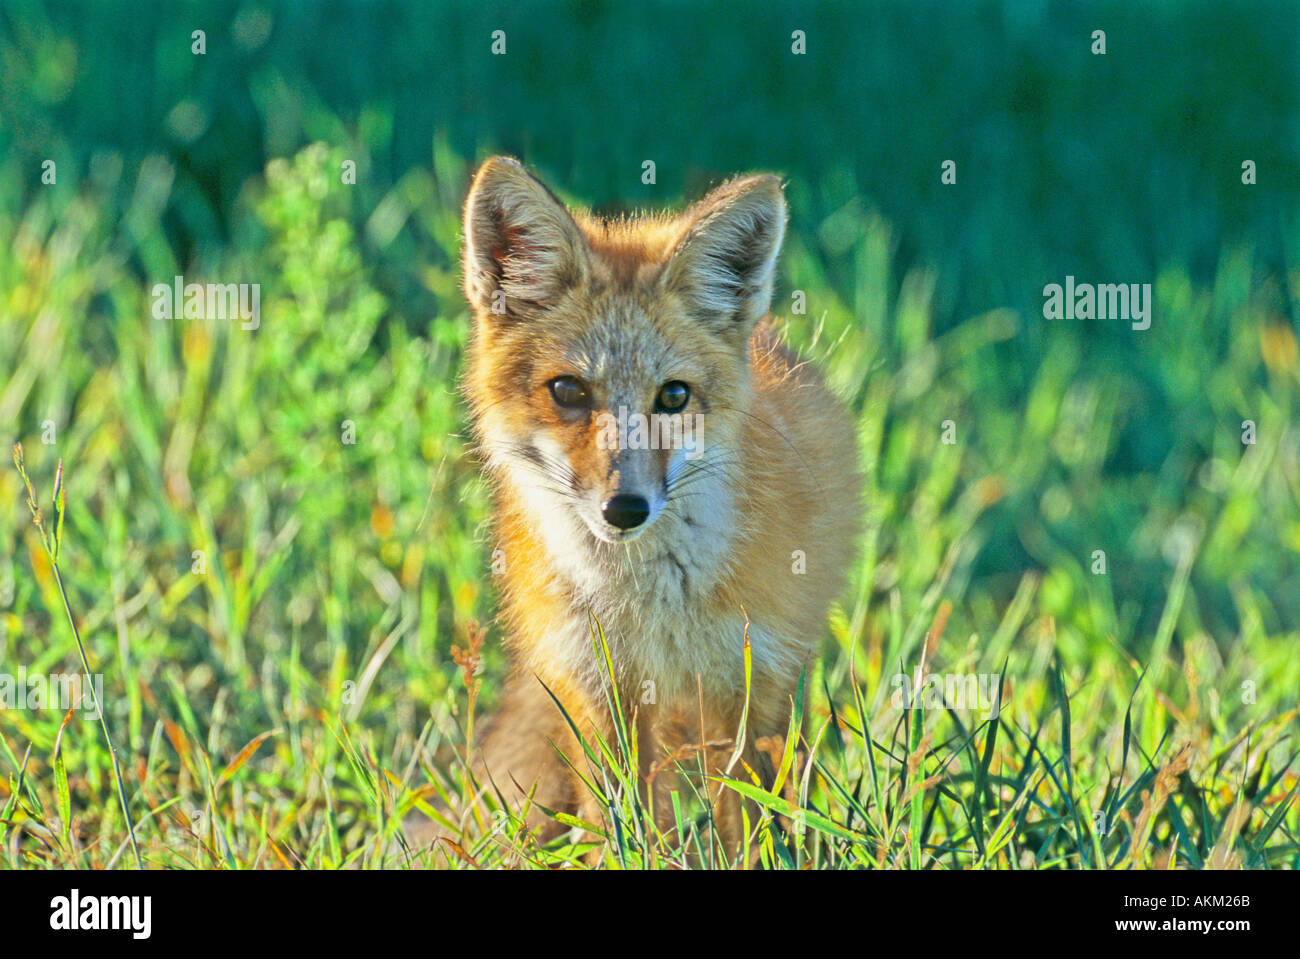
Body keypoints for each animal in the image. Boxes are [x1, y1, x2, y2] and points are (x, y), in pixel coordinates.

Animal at [455, 156, 861, 854]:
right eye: (568, 391)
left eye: (673, 396)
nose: (625, 509)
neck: (651, 607)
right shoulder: (598, 687)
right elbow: (616, 825)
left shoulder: (752, 684)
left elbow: (751, 825)